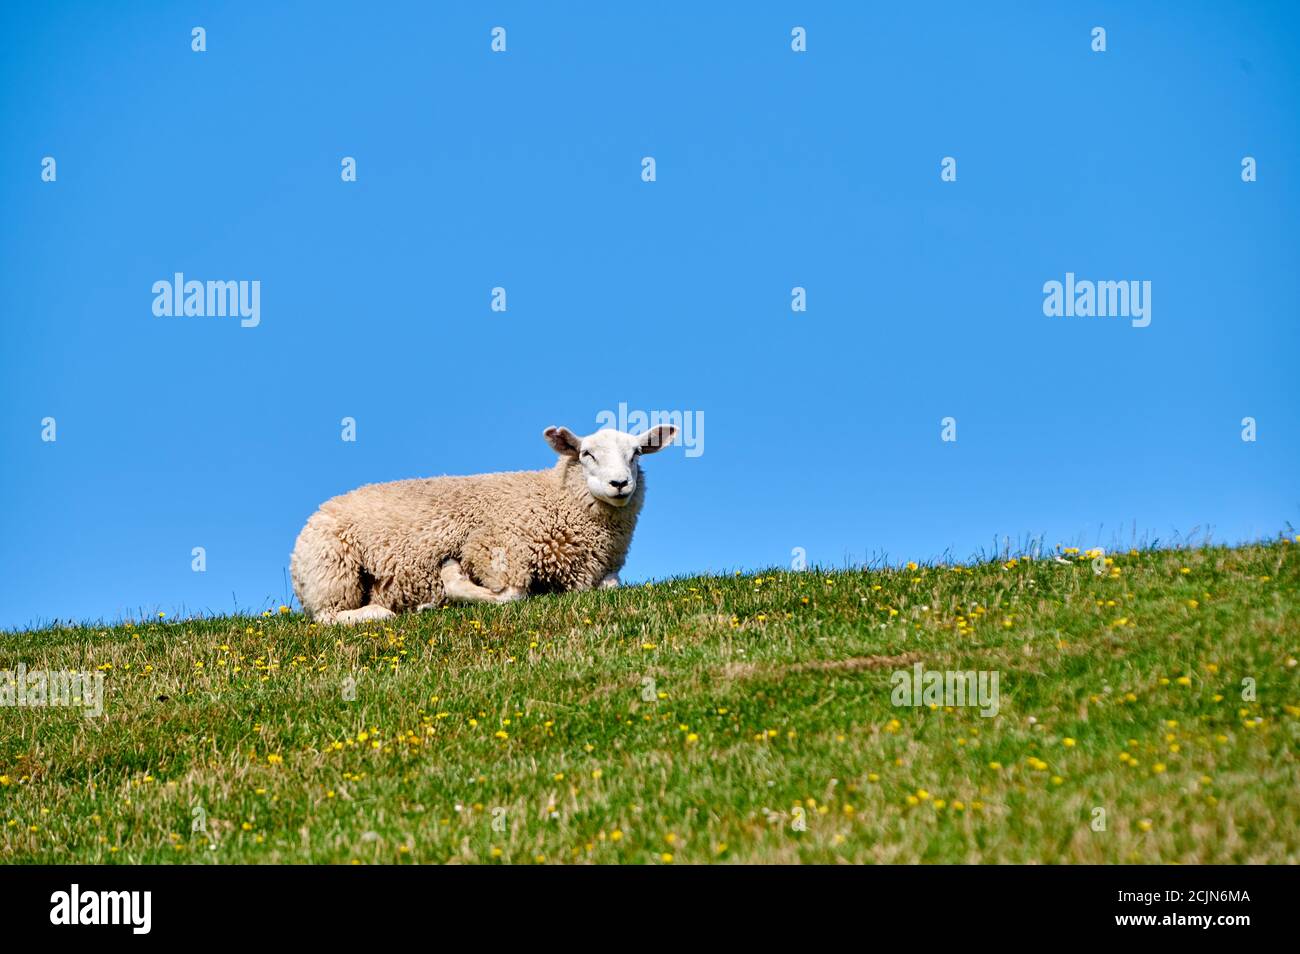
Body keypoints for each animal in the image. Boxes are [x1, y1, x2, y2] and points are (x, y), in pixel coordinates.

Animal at [289, 423, 678, 624]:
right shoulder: (495, 551)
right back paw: (387, 610)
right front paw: (451, 579)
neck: (554, 498)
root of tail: (318, 512)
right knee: (330, 616)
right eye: (587, 454)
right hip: (332, 571)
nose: (619, 483)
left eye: (637, 453)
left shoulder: (600, 573)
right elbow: (508, 596)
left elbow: (611, 586)